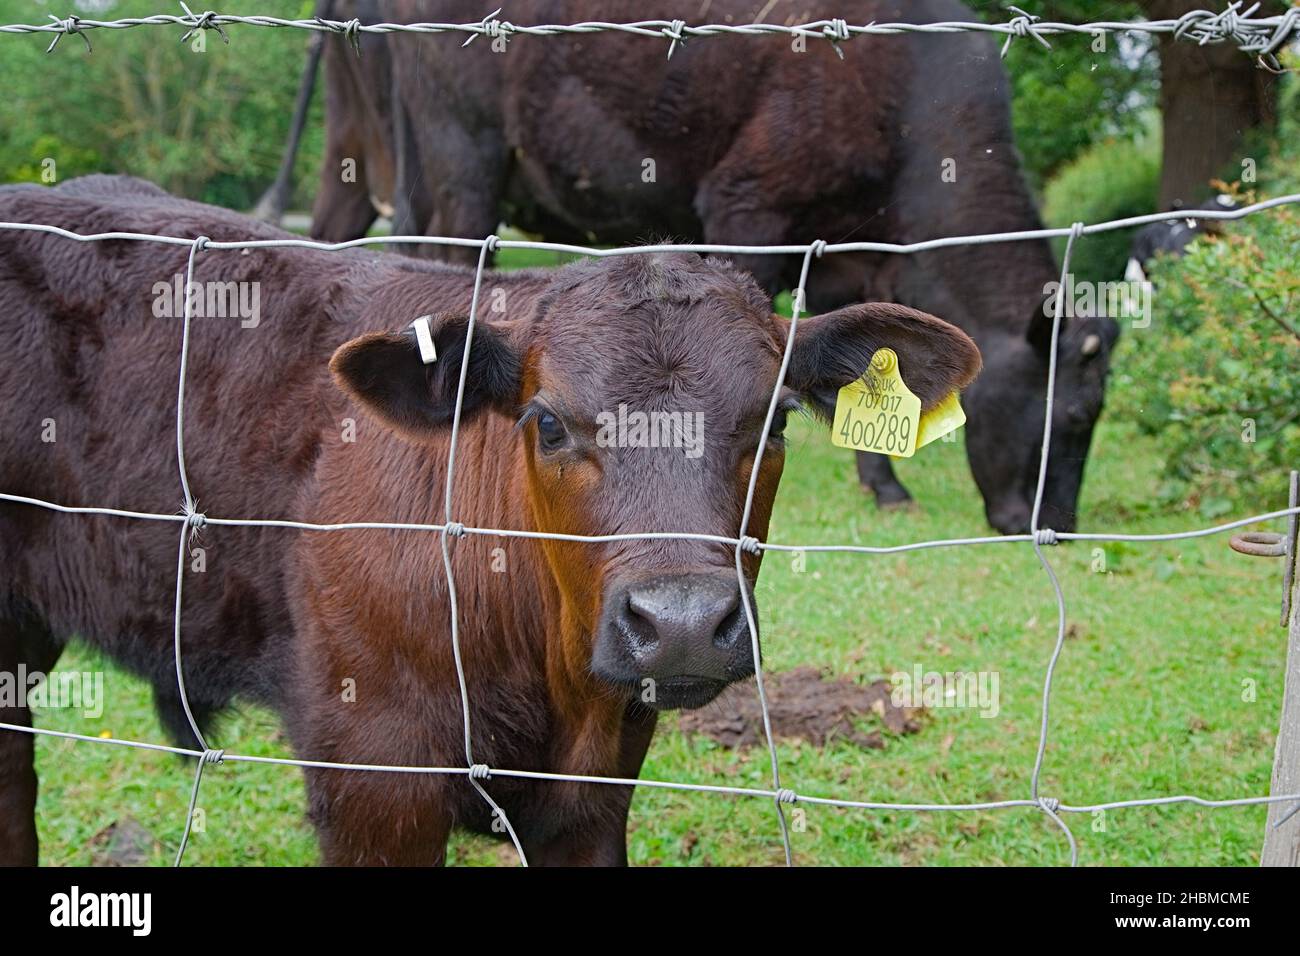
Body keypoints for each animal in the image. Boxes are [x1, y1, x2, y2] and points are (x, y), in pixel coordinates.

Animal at [268, 0, 1119, 535]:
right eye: (1076, 415)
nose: (1056, 526)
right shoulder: (748, 205)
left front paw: (886, 486)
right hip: (462, 152)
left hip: (358, 147)